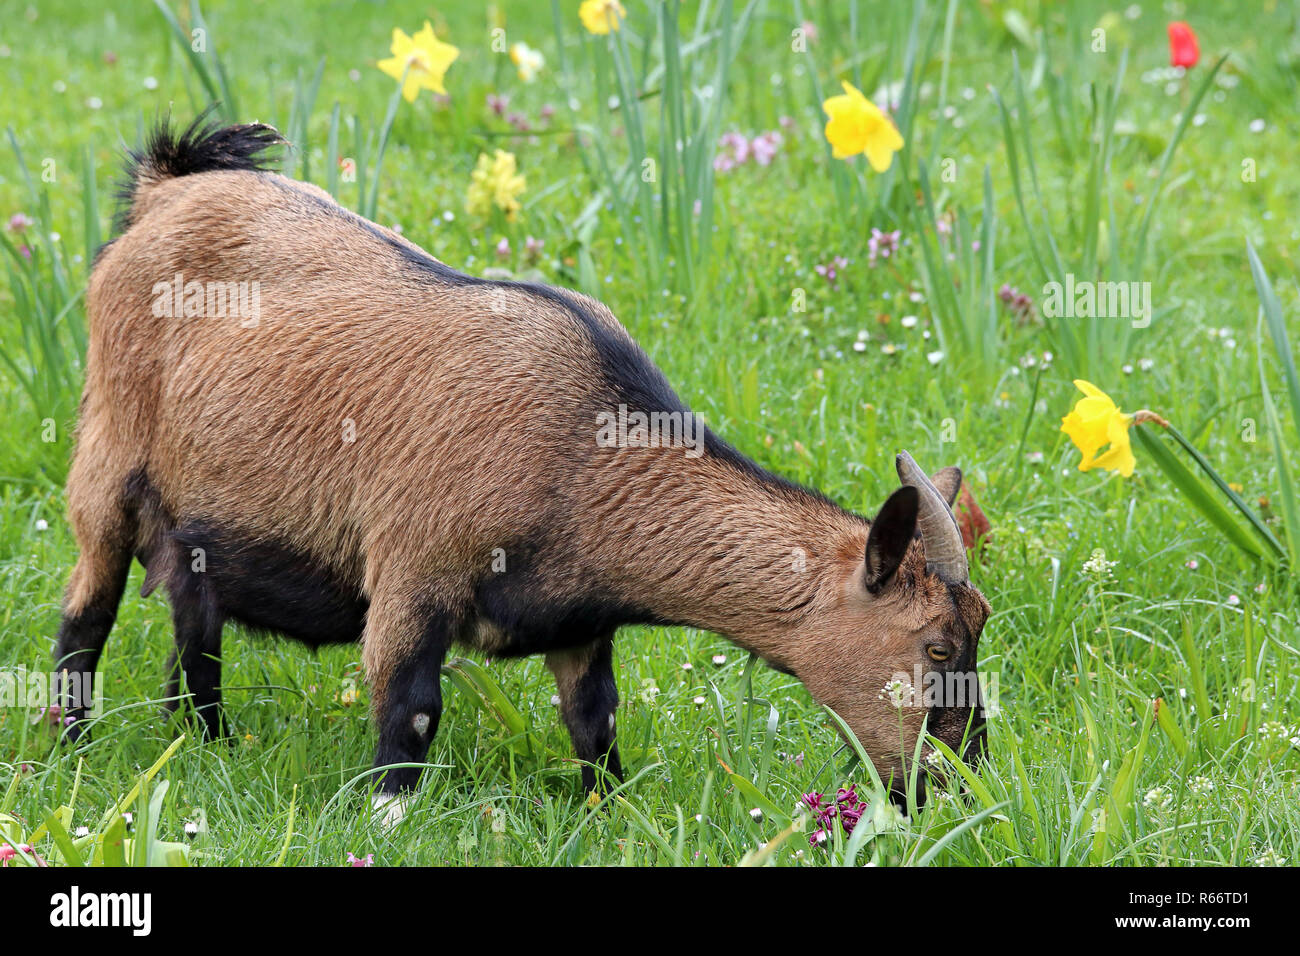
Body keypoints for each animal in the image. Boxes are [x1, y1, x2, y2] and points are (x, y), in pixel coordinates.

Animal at [53, 115, 990, 823]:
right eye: (938, 645)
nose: (963, 785)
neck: (581, 453)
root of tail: (167, 187)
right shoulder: (415, 568)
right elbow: (410, 708)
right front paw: (387, 823)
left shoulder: (579, 623)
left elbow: (594, 724)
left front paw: (610, 815)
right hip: (108, 453)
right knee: (87, 611)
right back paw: (70, 752)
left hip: (195, 520)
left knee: (194, 622)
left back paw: (204, 744)